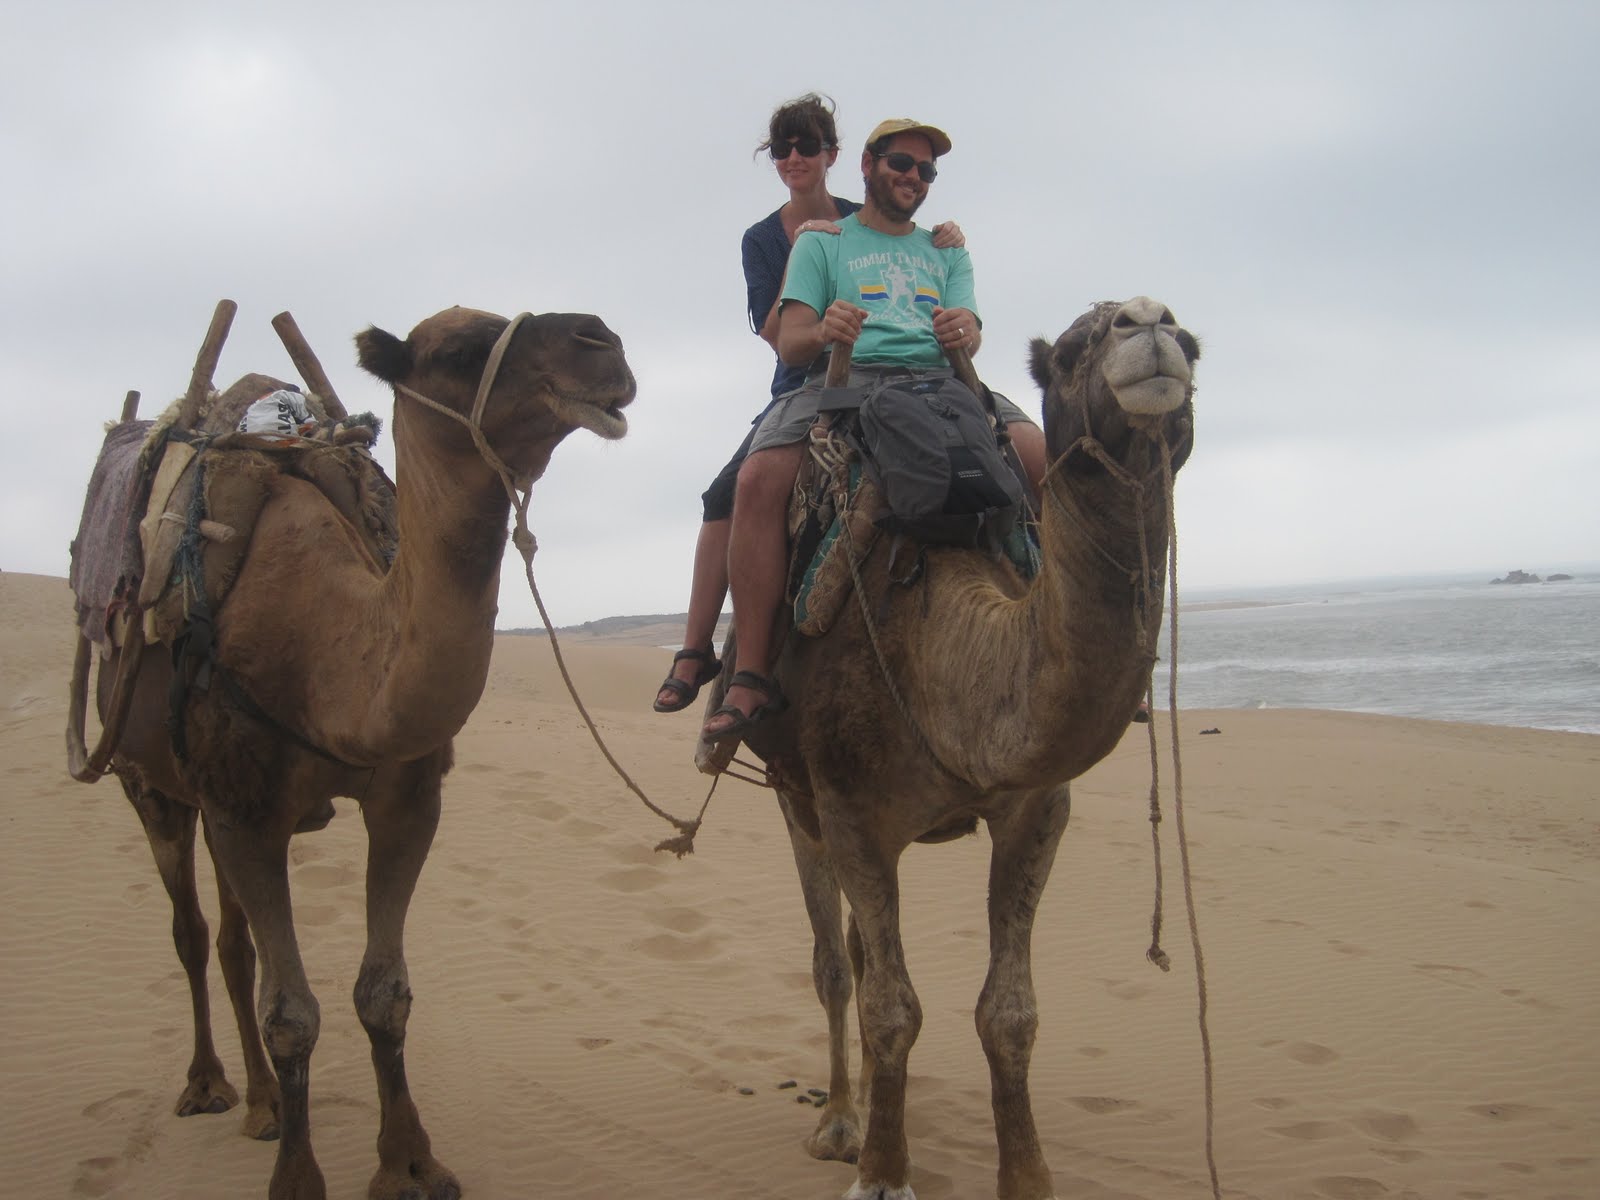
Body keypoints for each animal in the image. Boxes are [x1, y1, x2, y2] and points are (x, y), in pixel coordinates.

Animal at [70, 306, 634, 1200]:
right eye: (456, 351)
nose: (601, 342)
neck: (325, 654)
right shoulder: (242, 811)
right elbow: (292, 1014)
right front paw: (300, 1182)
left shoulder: (404, 797)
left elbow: (384, 992)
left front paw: (410, 1162)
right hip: (150, 784)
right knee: (191, 931)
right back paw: (207, 1085)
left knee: (232, 945)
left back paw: (264, 1106)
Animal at [720, 296, 1198, 1200]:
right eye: (1074, 348)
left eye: (1191, 340)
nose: (1148, 321)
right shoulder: (847, 809)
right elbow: (889, 1004)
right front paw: (880, 1173)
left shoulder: (1037, 808)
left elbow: (1008, 1013)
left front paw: (1028, 1178)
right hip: (796, 796)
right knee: (836, 964)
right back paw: (841, 1122)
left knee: (861, 954)